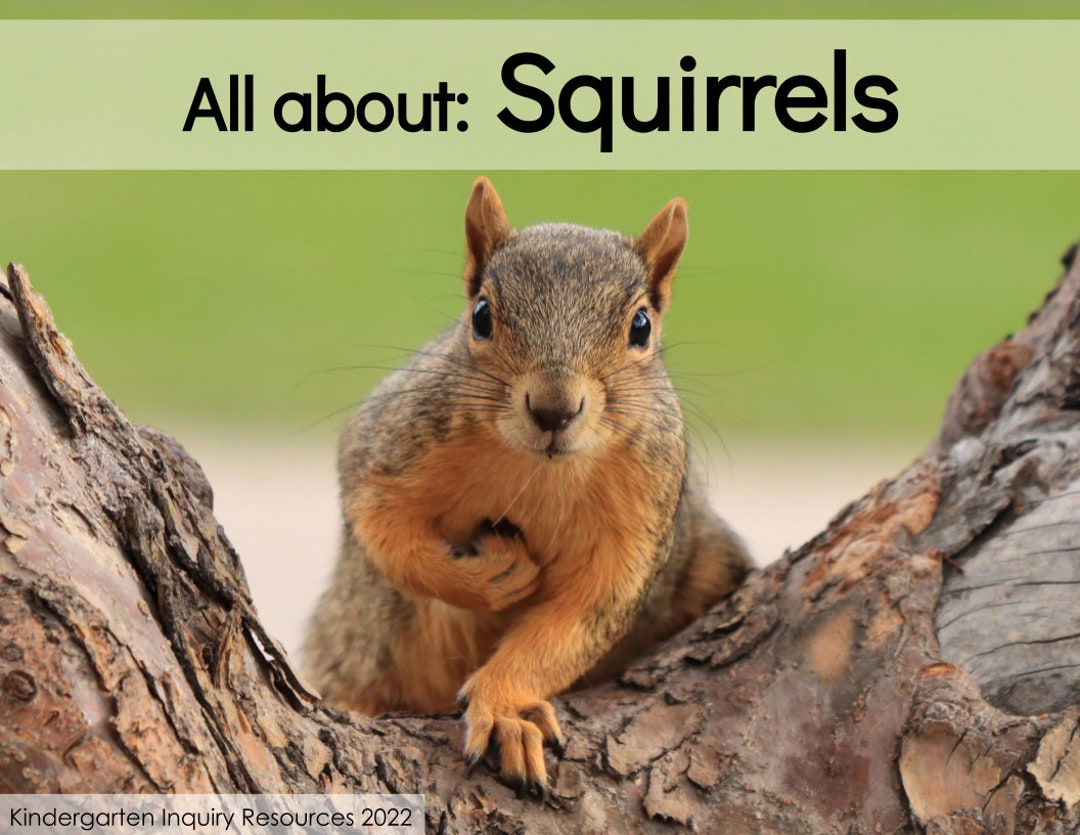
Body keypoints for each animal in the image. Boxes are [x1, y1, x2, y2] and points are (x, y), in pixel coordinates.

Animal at [303, 176, 751, 793]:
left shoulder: (641, 521)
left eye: (641, 327)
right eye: (481, 316)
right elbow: (383, 532)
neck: (539, 471)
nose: (553, 410)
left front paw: (505, 708)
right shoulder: (389, 445)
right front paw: (489, 576)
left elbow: (575, 622)